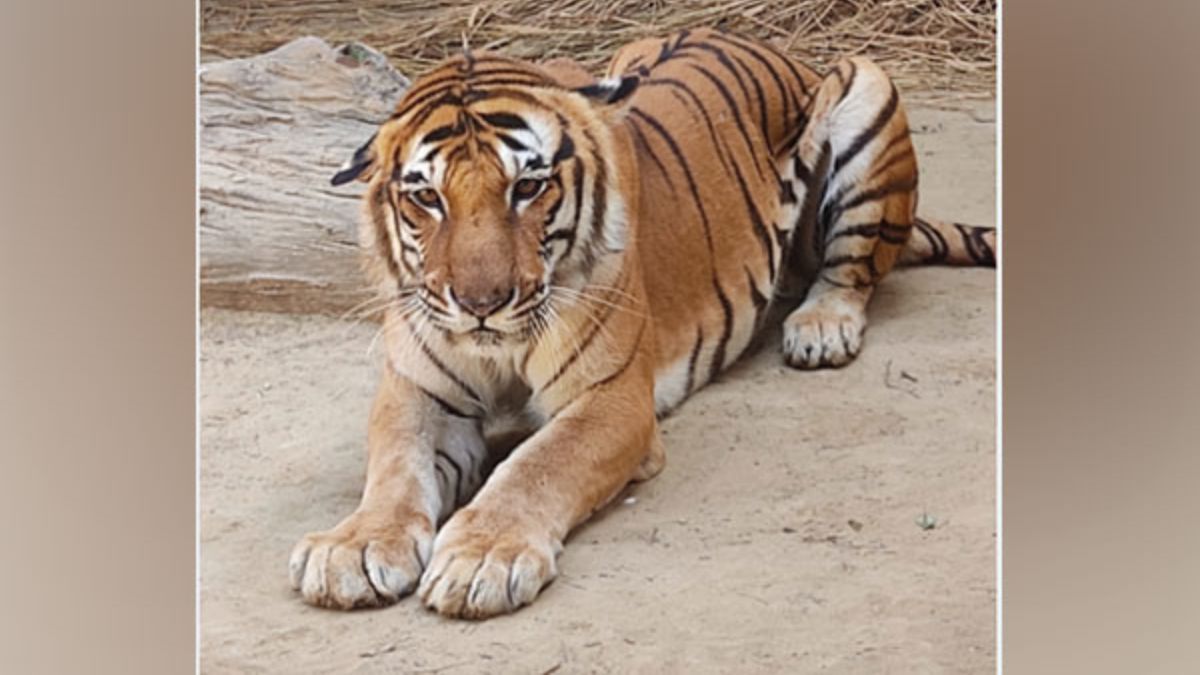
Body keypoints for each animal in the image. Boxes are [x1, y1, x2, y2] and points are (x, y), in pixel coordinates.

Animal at [288, 27, 996, 619]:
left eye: (527, 188)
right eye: (426, 197)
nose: (481, 302)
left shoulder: (611, 400)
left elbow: (536, 464)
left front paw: (481, 556)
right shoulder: (417, 391)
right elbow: (394, 467)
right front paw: (355, 546)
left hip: (866, 85)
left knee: (851, 270)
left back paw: (820, 327)